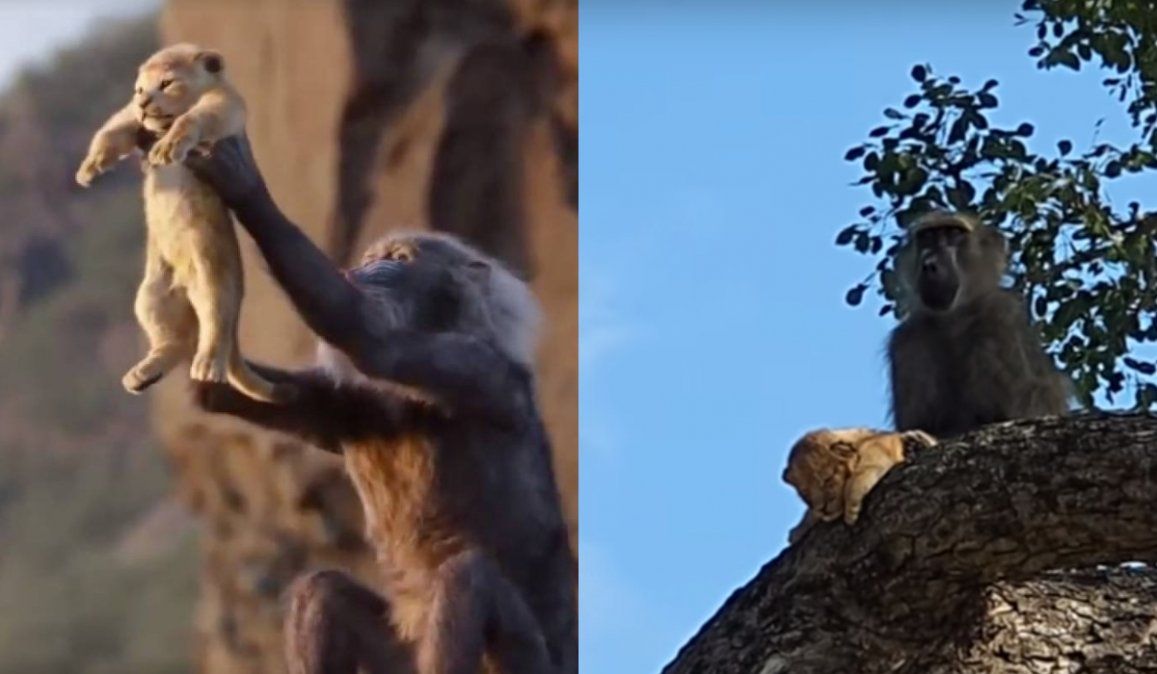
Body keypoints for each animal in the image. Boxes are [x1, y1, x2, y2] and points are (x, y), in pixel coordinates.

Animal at [75, 43, 277, 401]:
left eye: (167, 83)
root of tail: (185, 284)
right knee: (179, 340)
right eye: (139, 89)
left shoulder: (225, 106)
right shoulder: (130, 117)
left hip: (215, 275)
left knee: (216, 321)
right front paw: (89, 169)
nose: (144, 103)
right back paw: (142, 374)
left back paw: (208, 366)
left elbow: (193, 118)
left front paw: (167, 148)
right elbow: (112, 128)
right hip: (152, 294)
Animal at [177, 135, 577, 674]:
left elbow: (368, 336)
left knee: (467, 577)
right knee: (321, 592)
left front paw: (243, 185)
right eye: (374, 256)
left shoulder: (471, 367)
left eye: (401, 257)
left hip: (528, 666)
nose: (368, 266)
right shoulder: (356, 406)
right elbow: (301, 402)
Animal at [783, 428, 937, 543]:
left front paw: (851, 509)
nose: (823, 509)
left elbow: (863, 471)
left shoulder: (879, 446)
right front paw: (798, 529)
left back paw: (915, 444)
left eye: (828, 479)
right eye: (805, 494)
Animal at [887, 211, 1071, 438]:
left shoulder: (1001, 312)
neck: (954, 320)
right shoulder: (906, 340)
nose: (930, 263)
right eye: (927, 236)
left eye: (954, 233)